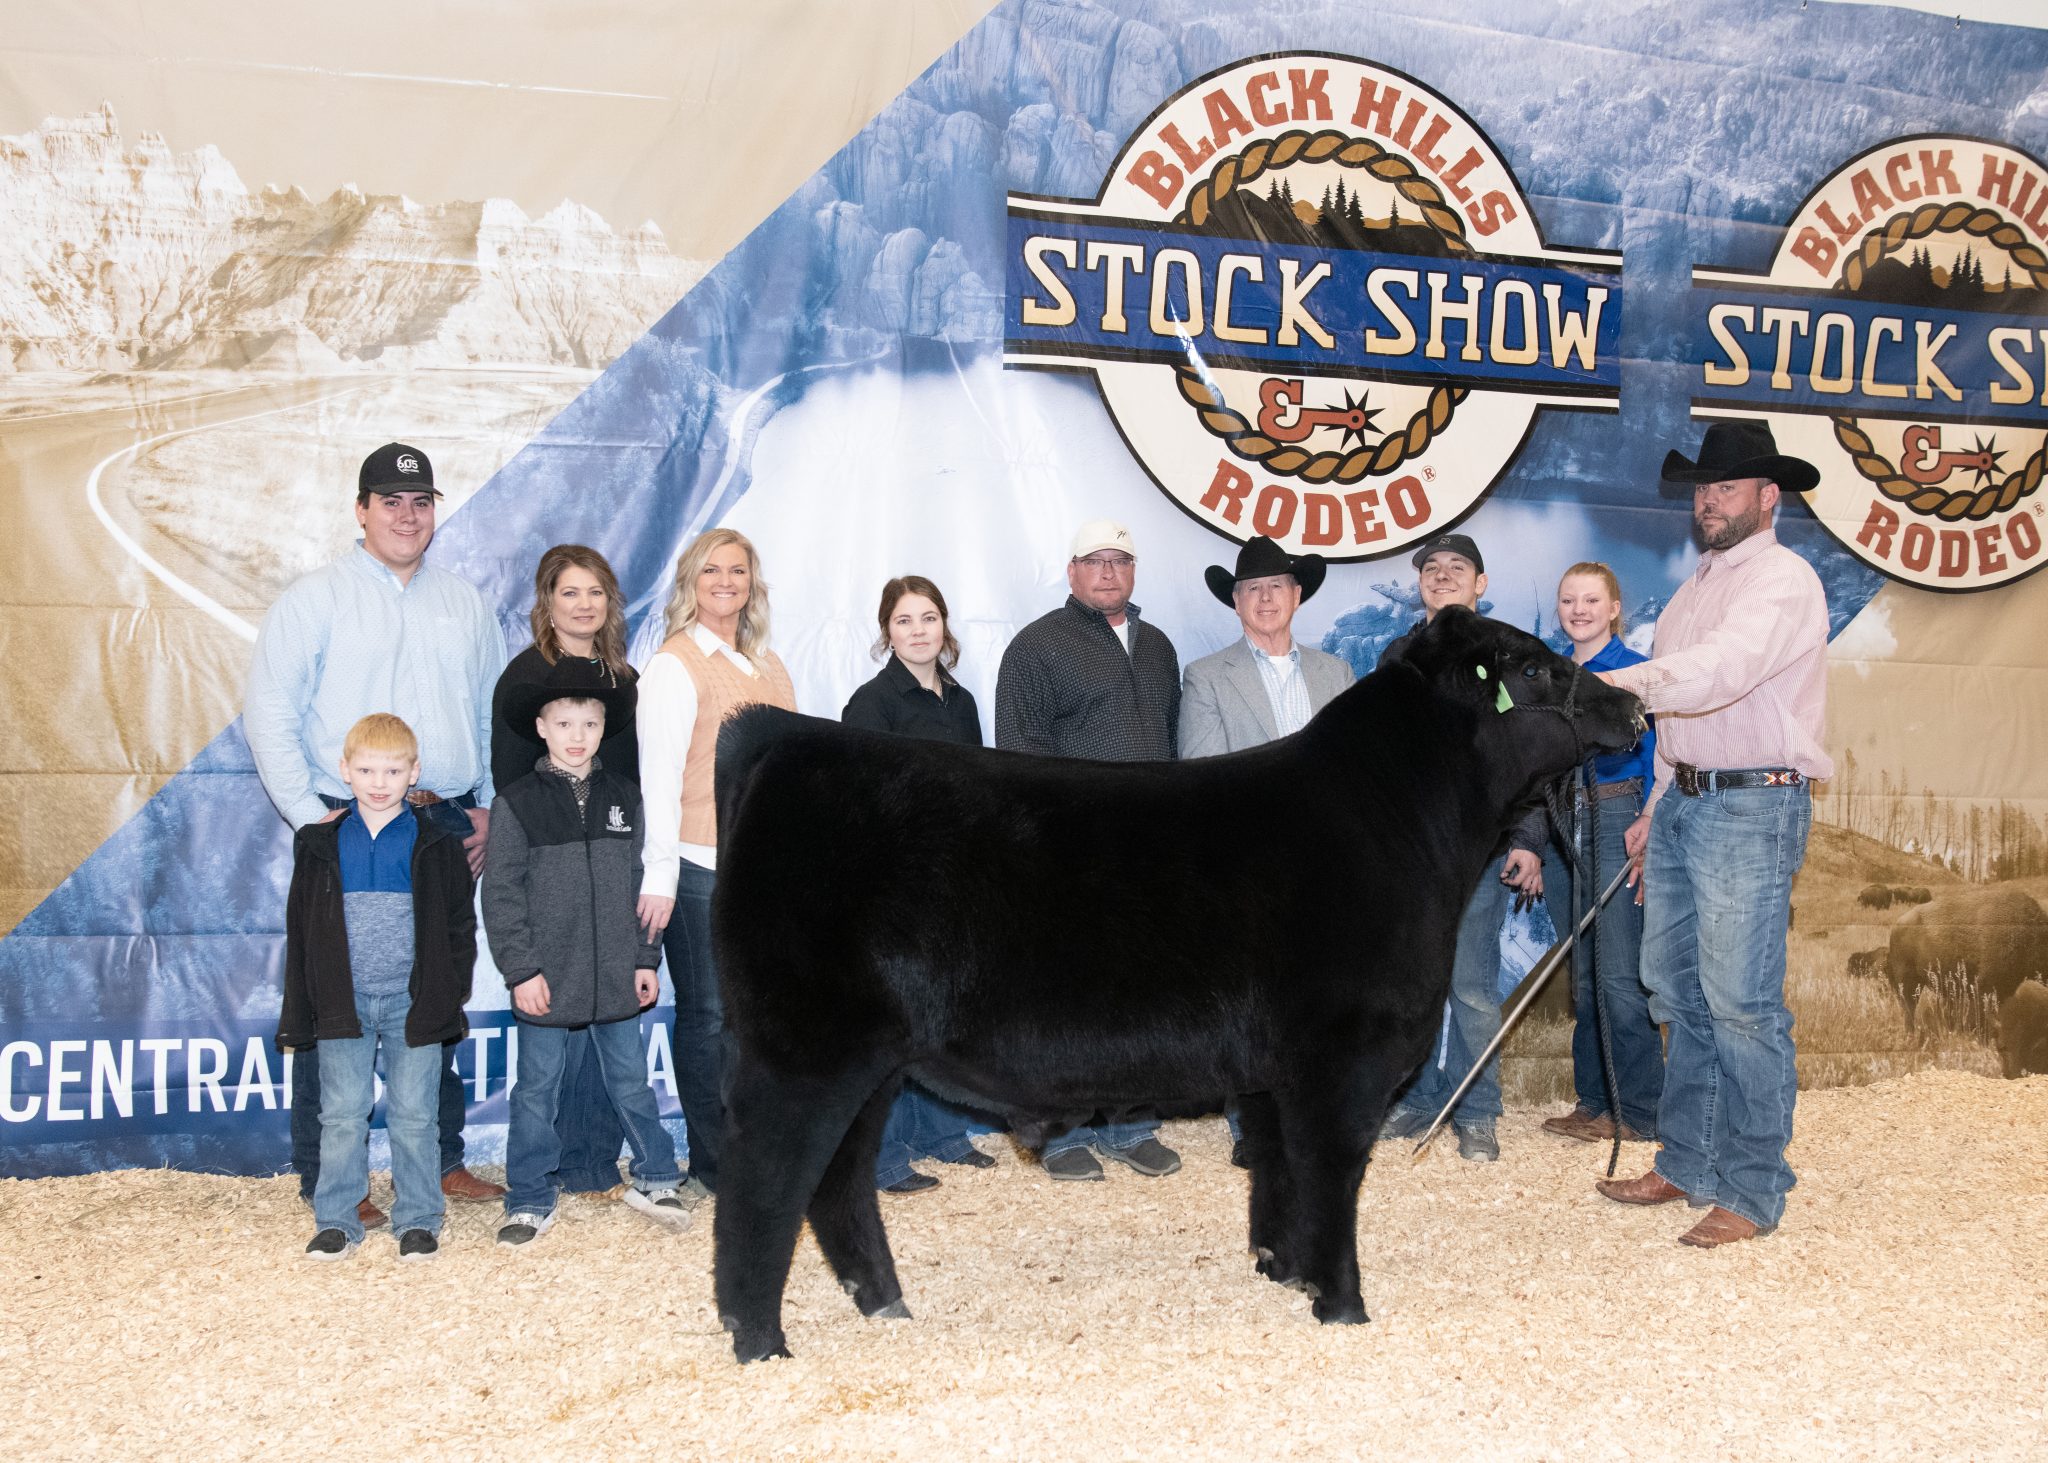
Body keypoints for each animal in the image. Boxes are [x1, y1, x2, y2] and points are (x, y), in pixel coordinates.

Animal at [705, 607, 1644, 1362]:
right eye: (1534, 667)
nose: (1634, 707)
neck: (1400, 819)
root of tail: (781, 736)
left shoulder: (1277, 1072)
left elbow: (1277, 1169)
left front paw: (1284, 1269)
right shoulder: (1344, 1056)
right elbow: (1331, 1174)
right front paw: (1342, 1302)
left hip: (868, 1062)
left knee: (838, 1181)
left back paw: (882, 1301)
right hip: (803, 1050)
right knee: (763, 1182)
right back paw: (759, 1339)